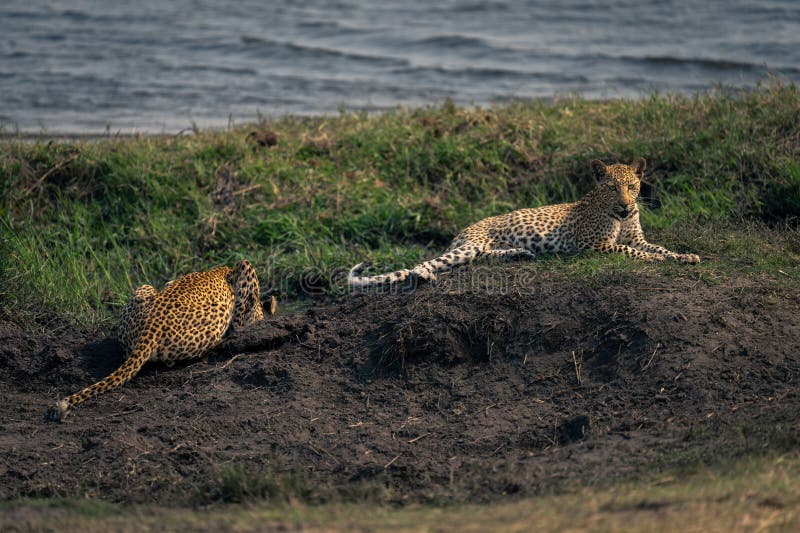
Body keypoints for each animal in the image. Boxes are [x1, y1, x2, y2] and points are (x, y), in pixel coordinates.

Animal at [348, 157, 700, 288]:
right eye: (612, 187)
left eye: (632, 186)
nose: (626, 205)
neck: (620, 216)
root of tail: (463, 231)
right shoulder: (595, 244)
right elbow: (633, 252)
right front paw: (656, 260)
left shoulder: (637, 237)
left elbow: (658, 247)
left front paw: (685, 256)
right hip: (468, 247)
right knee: (429, 262)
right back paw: (422, 274)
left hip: (479, 249)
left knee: (484, 258)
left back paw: (519, 253)